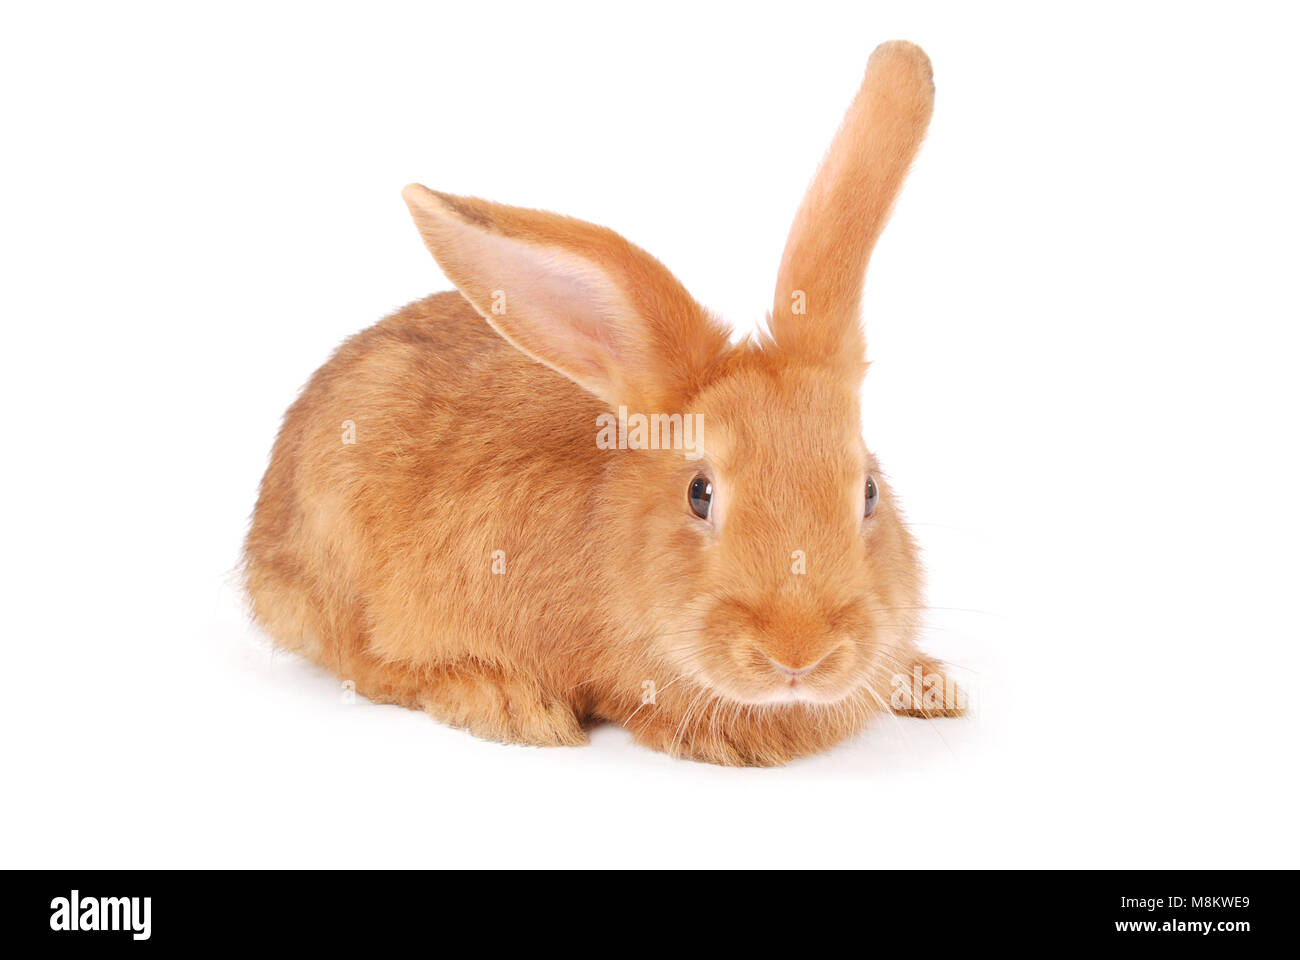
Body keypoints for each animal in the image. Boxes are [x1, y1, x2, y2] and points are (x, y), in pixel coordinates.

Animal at [244, 40, 962, 766]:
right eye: (700, 494)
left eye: (869, 493)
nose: (800, 653)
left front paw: (930, 683)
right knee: (369, 663)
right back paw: (504, 701)